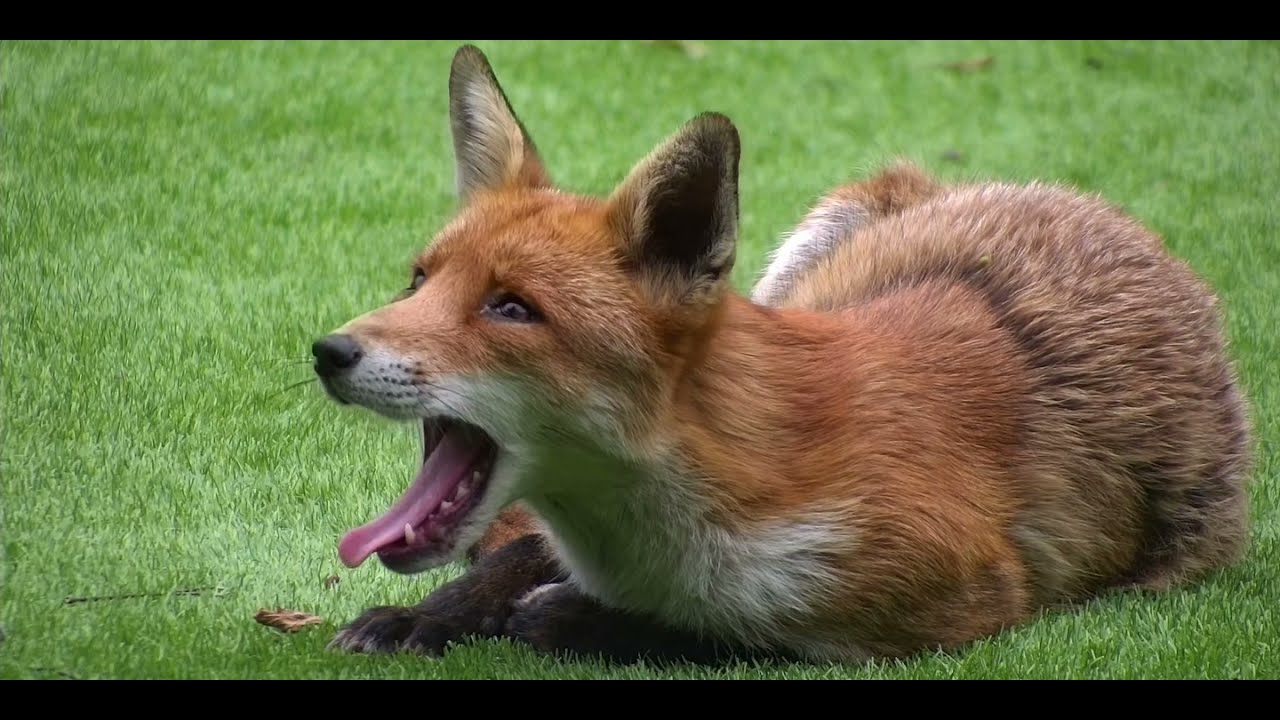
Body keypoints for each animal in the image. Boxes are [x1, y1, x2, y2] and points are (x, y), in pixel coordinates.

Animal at [311, 44, 1253, 665]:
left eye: (511, 308)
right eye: (419, 280)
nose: (328, 350)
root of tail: (1105, 214)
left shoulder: (958, 607)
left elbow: (745, 643)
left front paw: (590, 625)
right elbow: (516, 558)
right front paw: (428, 617)